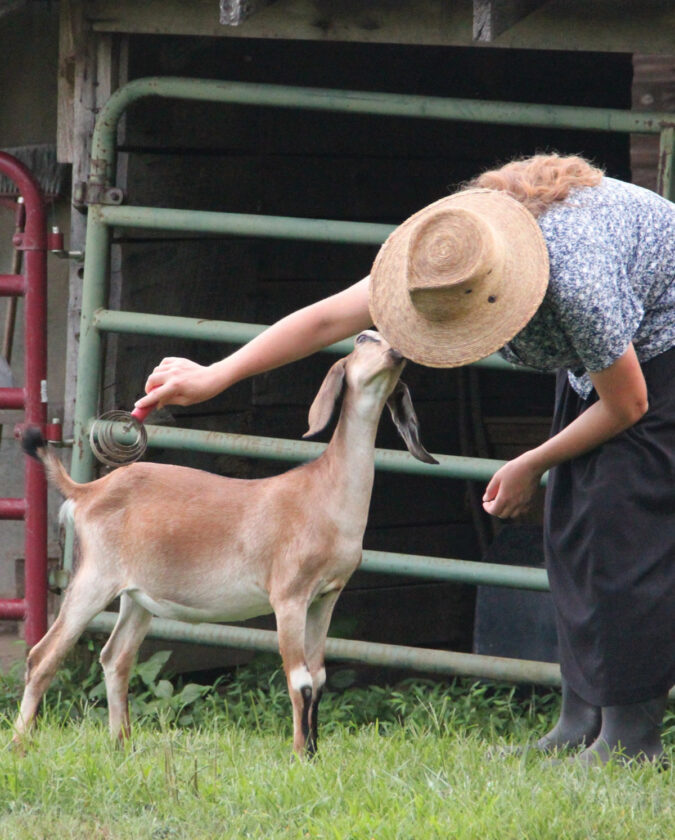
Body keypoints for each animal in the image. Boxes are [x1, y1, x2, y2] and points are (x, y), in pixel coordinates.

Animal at [15, 330, 436, 756]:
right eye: (364, 338)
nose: (398, 351)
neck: (324, 492)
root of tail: (87, 490)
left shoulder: (325, 598)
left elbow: (318, 679)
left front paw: (314, 754)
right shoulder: (289, 596)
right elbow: (299, 679)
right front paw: (299, 755)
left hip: (138, 596)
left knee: (116, 657)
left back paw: (122, 746)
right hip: (95, 578)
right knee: (43, 656)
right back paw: (20, 744)